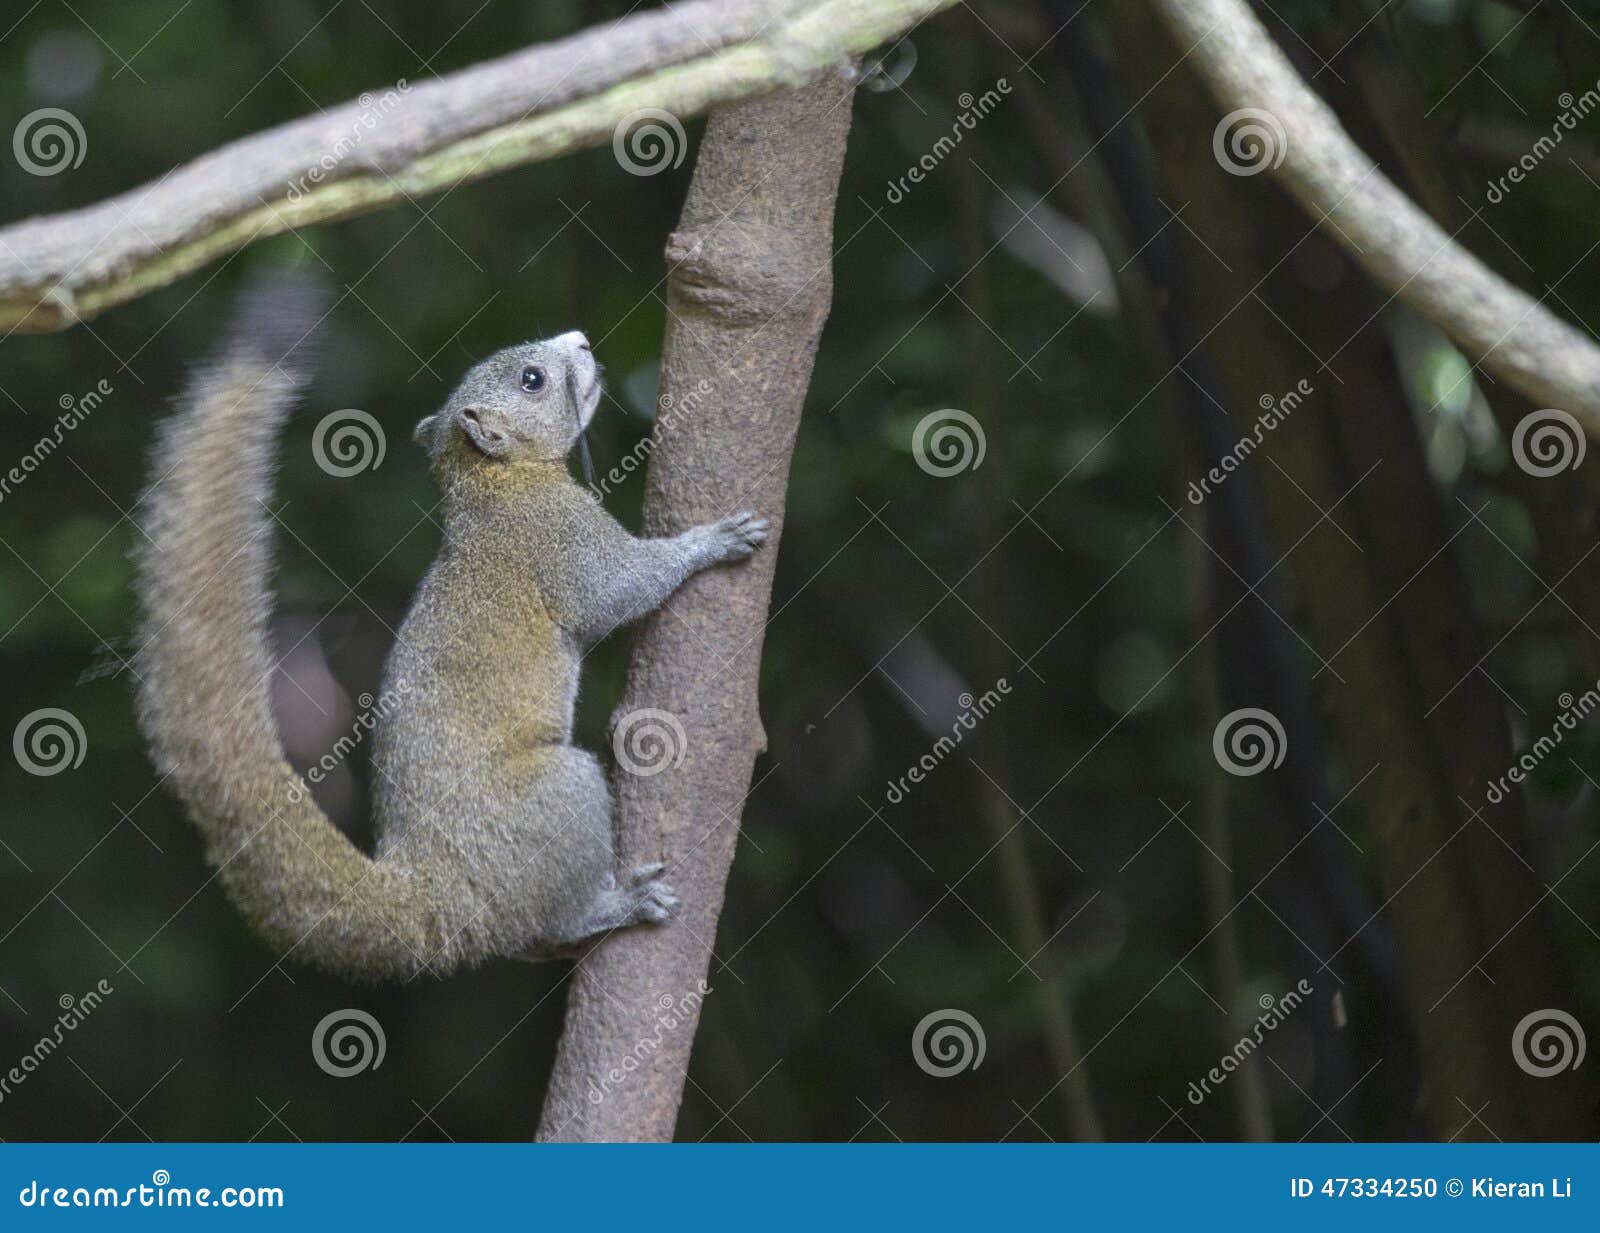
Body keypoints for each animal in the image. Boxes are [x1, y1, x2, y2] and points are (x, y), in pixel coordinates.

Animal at [133, 274, 768, 980]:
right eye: (531, 379)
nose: (580, 340)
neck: (494, 482)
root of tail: (439, 904)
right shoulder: (560, 539)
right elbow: (623, 589)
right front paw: (714, 540)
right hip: (559, 794)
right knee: (552, 917)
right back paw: (616, 905)